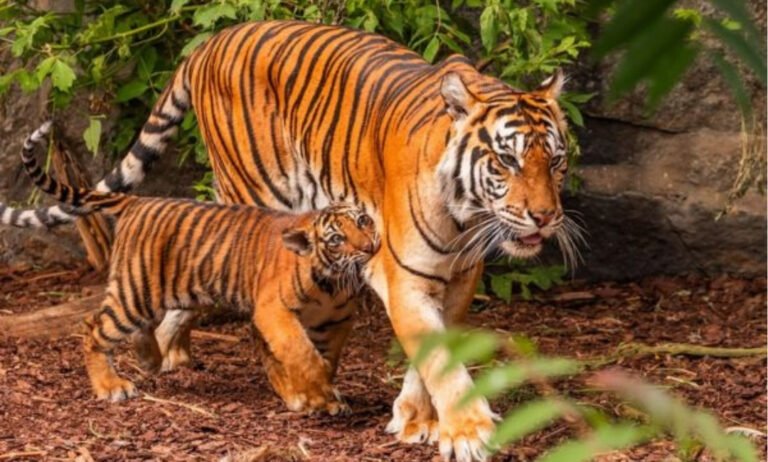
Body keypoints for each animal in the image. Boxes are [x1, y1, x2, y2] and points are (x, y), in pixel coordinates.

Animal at [20, 121, 380, 414]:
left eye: (363, 221)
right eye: (336, 239)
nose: (369, 247)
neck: (332, 283)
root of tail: (139, 201)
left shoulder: (336, 321)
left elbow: (326, 359)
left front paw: (324, 397)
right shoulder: (274, 311)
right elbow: (302, 353)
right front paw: (314, 395)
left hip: (156, 292)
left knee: (138, 328)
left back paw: (149, 361)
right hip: (136, 293)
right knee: (94, 328)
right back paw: (111, 387)